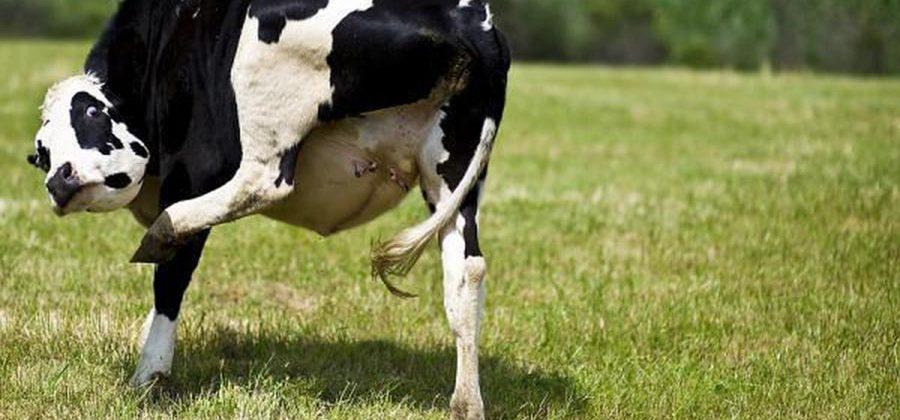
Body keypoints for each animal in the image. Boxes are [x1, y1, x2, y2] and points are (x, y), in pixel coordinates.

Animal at [25, 0, 509, 418]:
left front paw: (150, 374)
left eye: (92, 113)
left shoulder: (193, 168)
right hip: (453, 173)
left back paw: (163, 229)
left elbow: (172, 276)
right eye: (43, 154)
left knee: (263, 181)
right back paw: (467, 403)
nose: (59, 181)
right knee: (466, 271)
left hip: (266, 87)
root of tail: (469, 19)